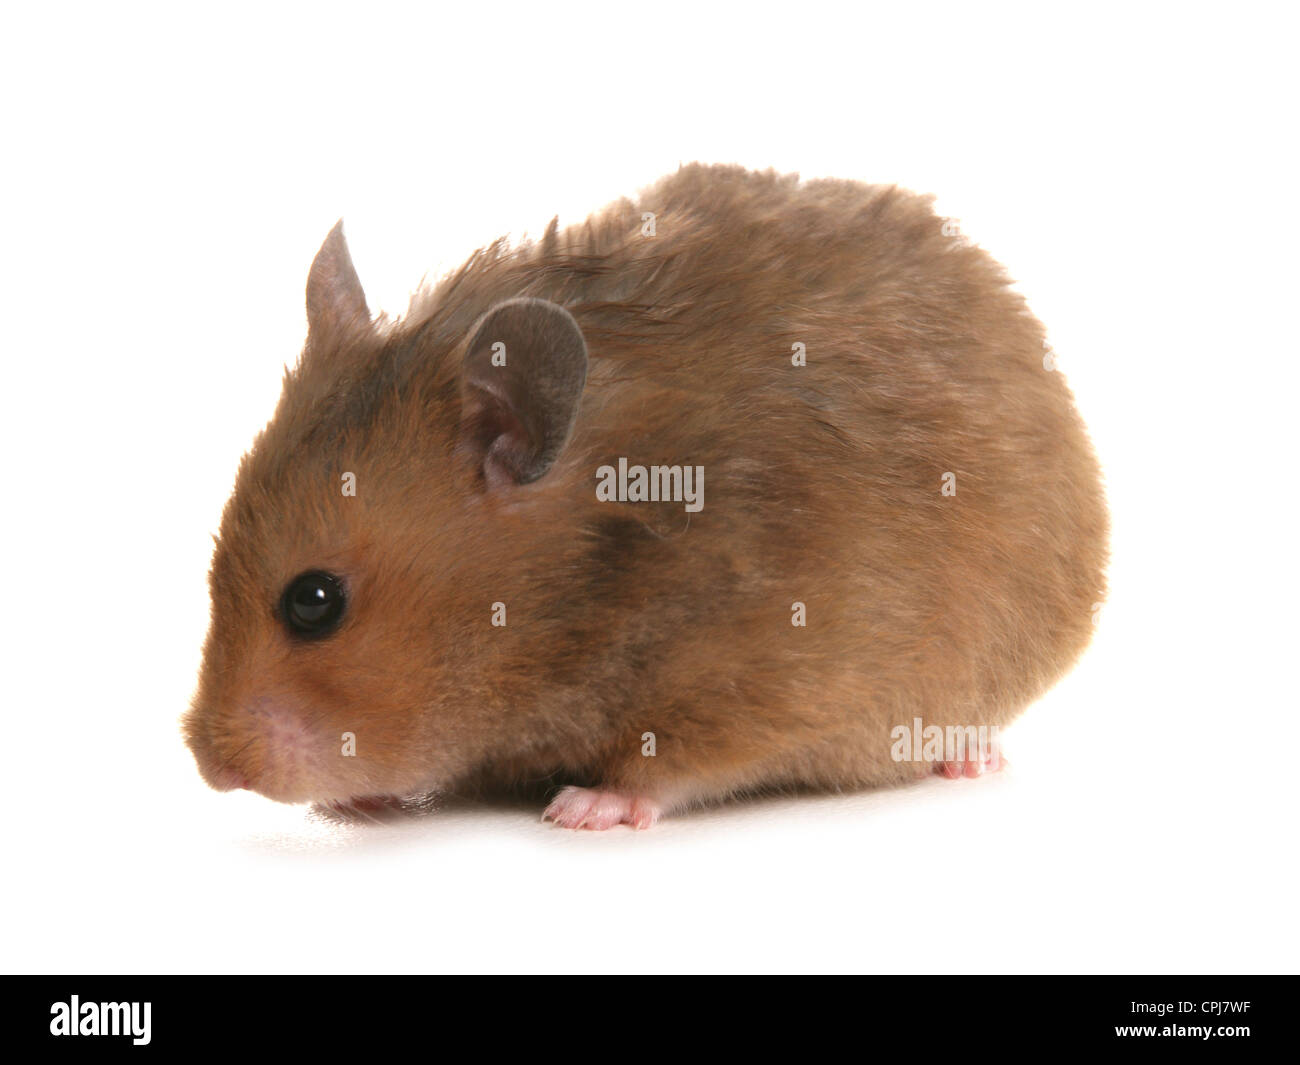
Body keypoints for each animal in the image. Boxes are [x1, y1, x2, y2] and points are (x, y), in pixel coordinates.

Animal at [183, 164, 1108, 830]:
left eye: (313, 601)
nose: (208, 767)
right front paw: (354, 802)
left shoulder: (760, 682)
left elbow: (663, 767)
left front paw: (582, 809)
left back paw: (971, 757)